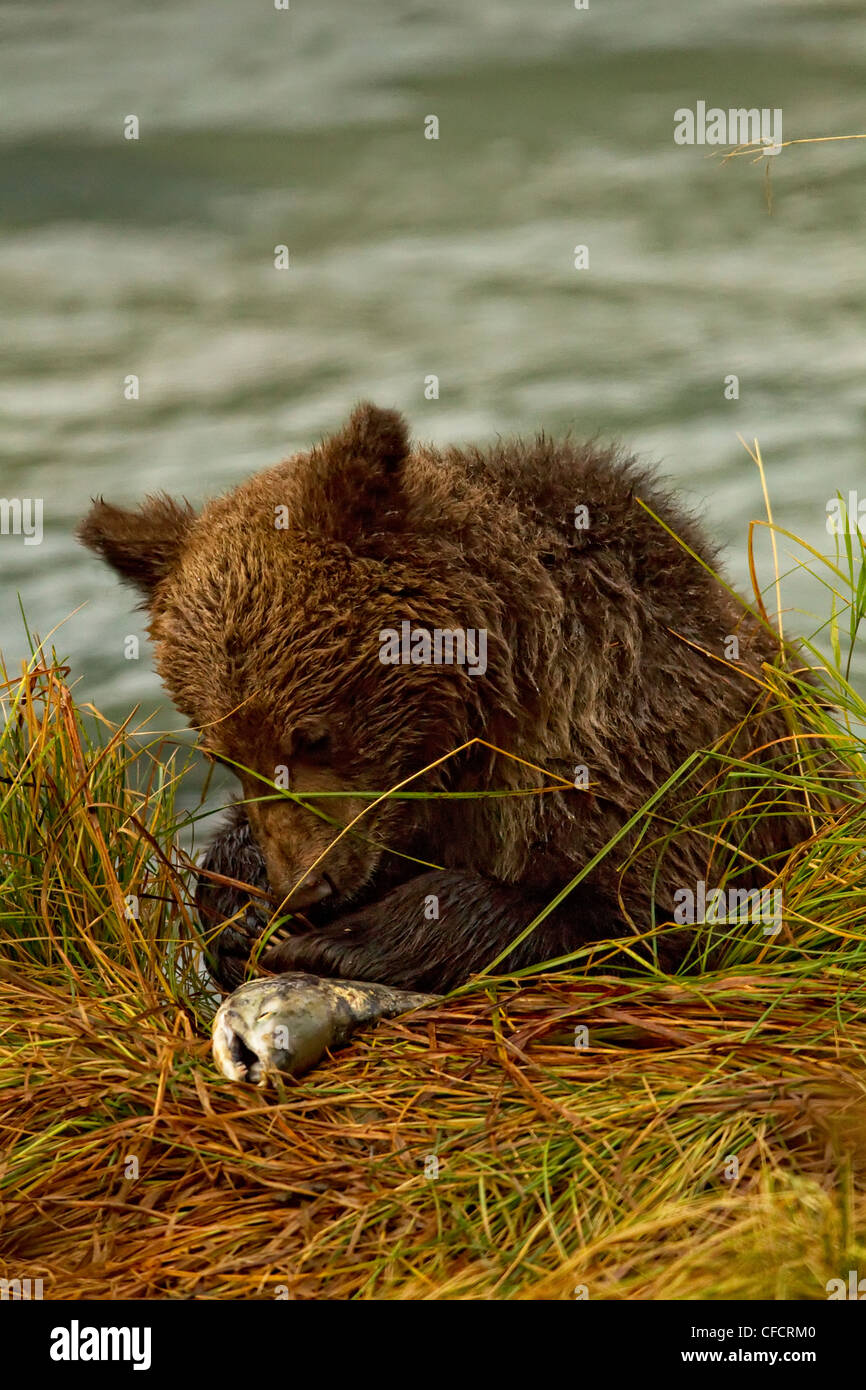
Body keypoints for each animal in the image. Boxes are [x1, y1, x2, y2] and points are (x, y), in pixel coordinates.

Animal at [77, 403, 815, 1080]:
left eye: (313, 734)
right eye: (224, 752)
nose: (306, 888)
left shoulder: (644, 748)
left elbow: (644, 916)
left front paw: (338, 942)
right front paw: (241, 913)